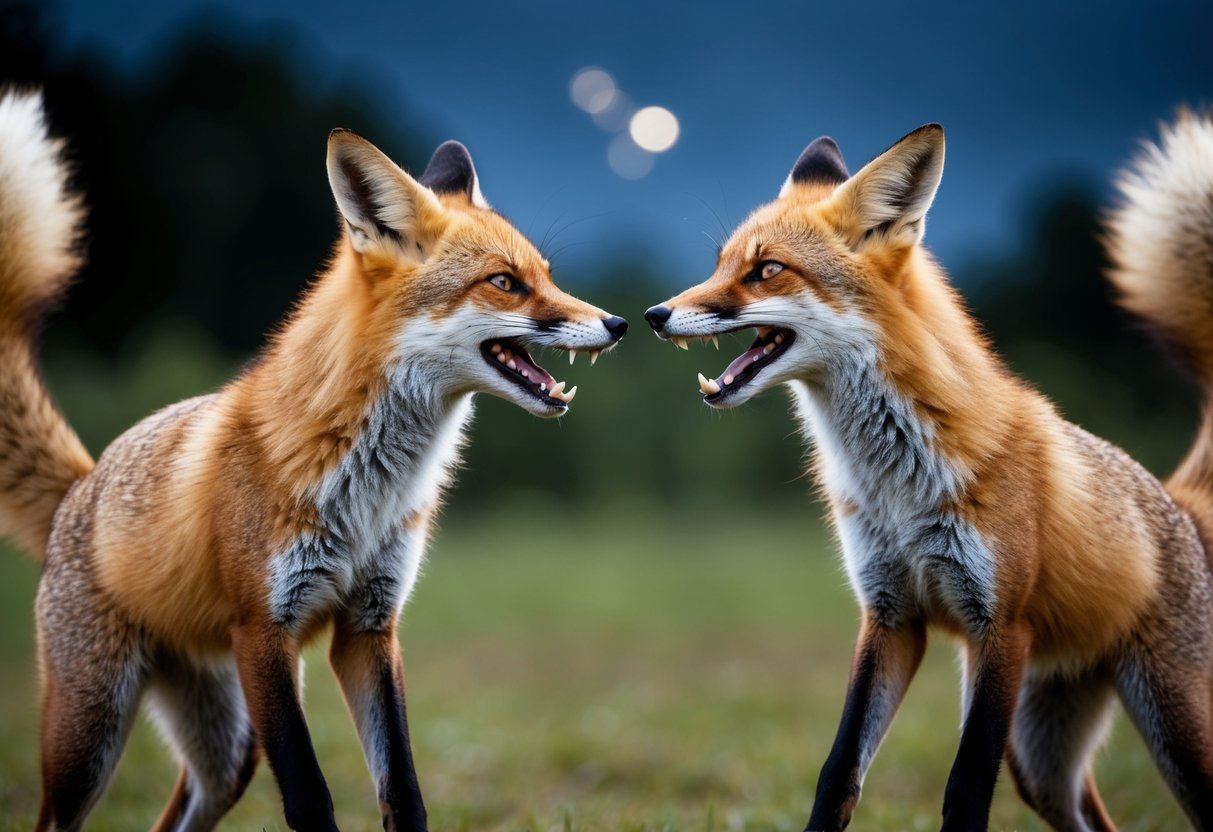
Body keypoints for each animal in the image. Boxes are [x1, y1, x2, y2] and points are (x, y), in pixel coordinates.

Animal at [0, 89, 628, 832]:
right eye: (505, 282)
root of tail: (82, 484)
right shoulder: (265, 632)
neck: (369, 487)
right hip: (91, 739)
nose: (619, 324)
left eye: (547, 278)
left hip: (227, 753)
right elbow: (309, 797)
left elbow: (403, 792)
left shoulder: (369, 627)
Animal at [645, 113, 1213, 831]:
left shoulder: (998, 628)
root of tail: (1176, 500)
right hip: (1041, 762)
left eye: (765, 271)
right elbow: (838, 773)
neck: (896, 486)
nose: (653, 315)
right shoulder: (890, 616)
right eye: (718, 264)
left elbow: (965, 788)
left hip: (1170, 733)